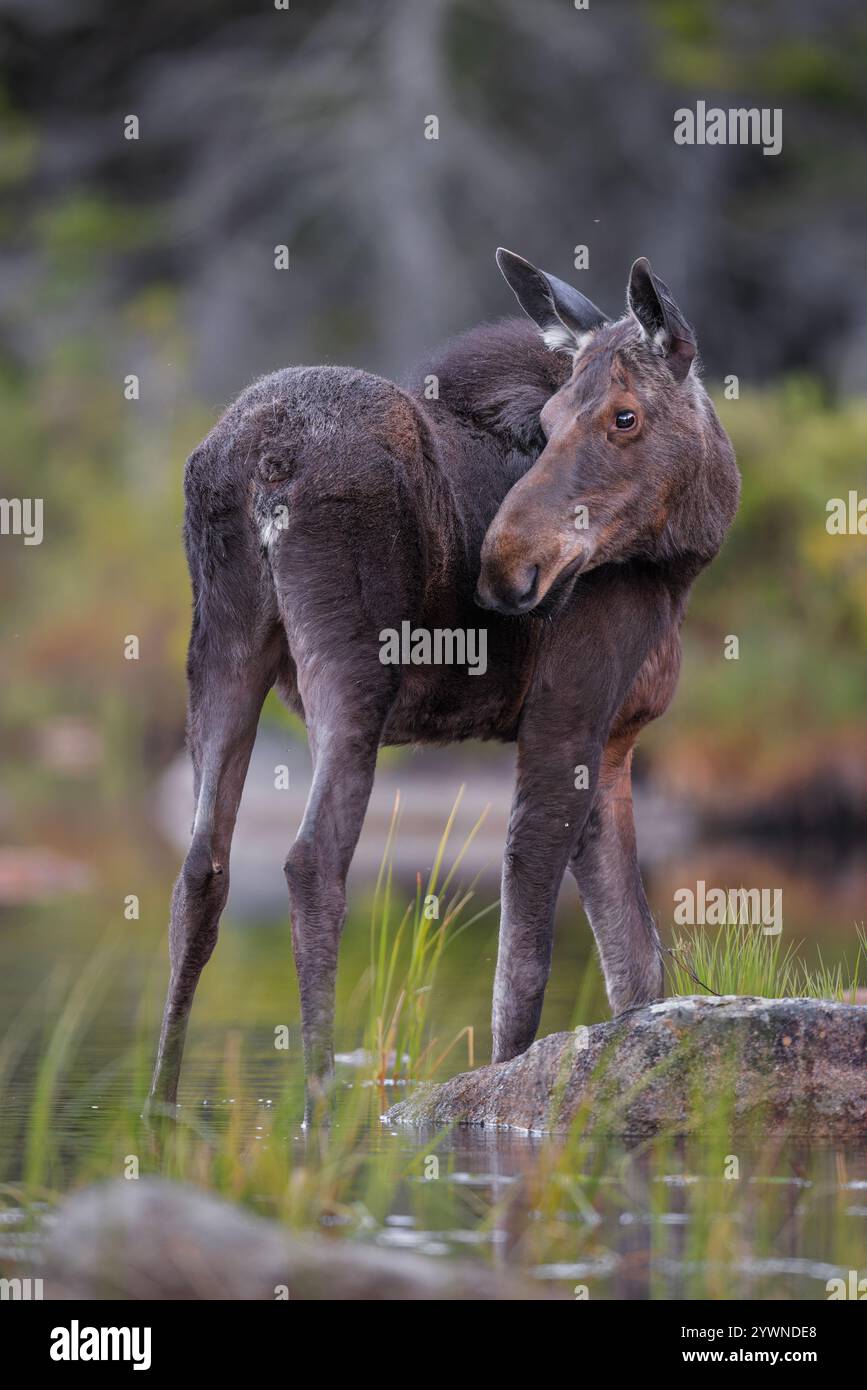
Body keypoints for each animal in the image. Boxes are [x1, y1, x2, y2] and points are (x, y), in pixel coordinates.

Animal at [148, 249, 739, 1121]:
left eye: (623, 416)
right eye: (548, 422)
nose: (503, 566)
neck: (684, 551)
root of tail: (257, 458)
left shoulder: (614, 743)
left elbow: (634, 967)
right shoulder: (565, 717)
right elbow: (524, 960)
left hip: (220, 649)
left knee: (199, 869)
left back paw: (159, 1107)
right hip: (354, 665)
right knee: (312, 860)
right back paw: (320, 1107)